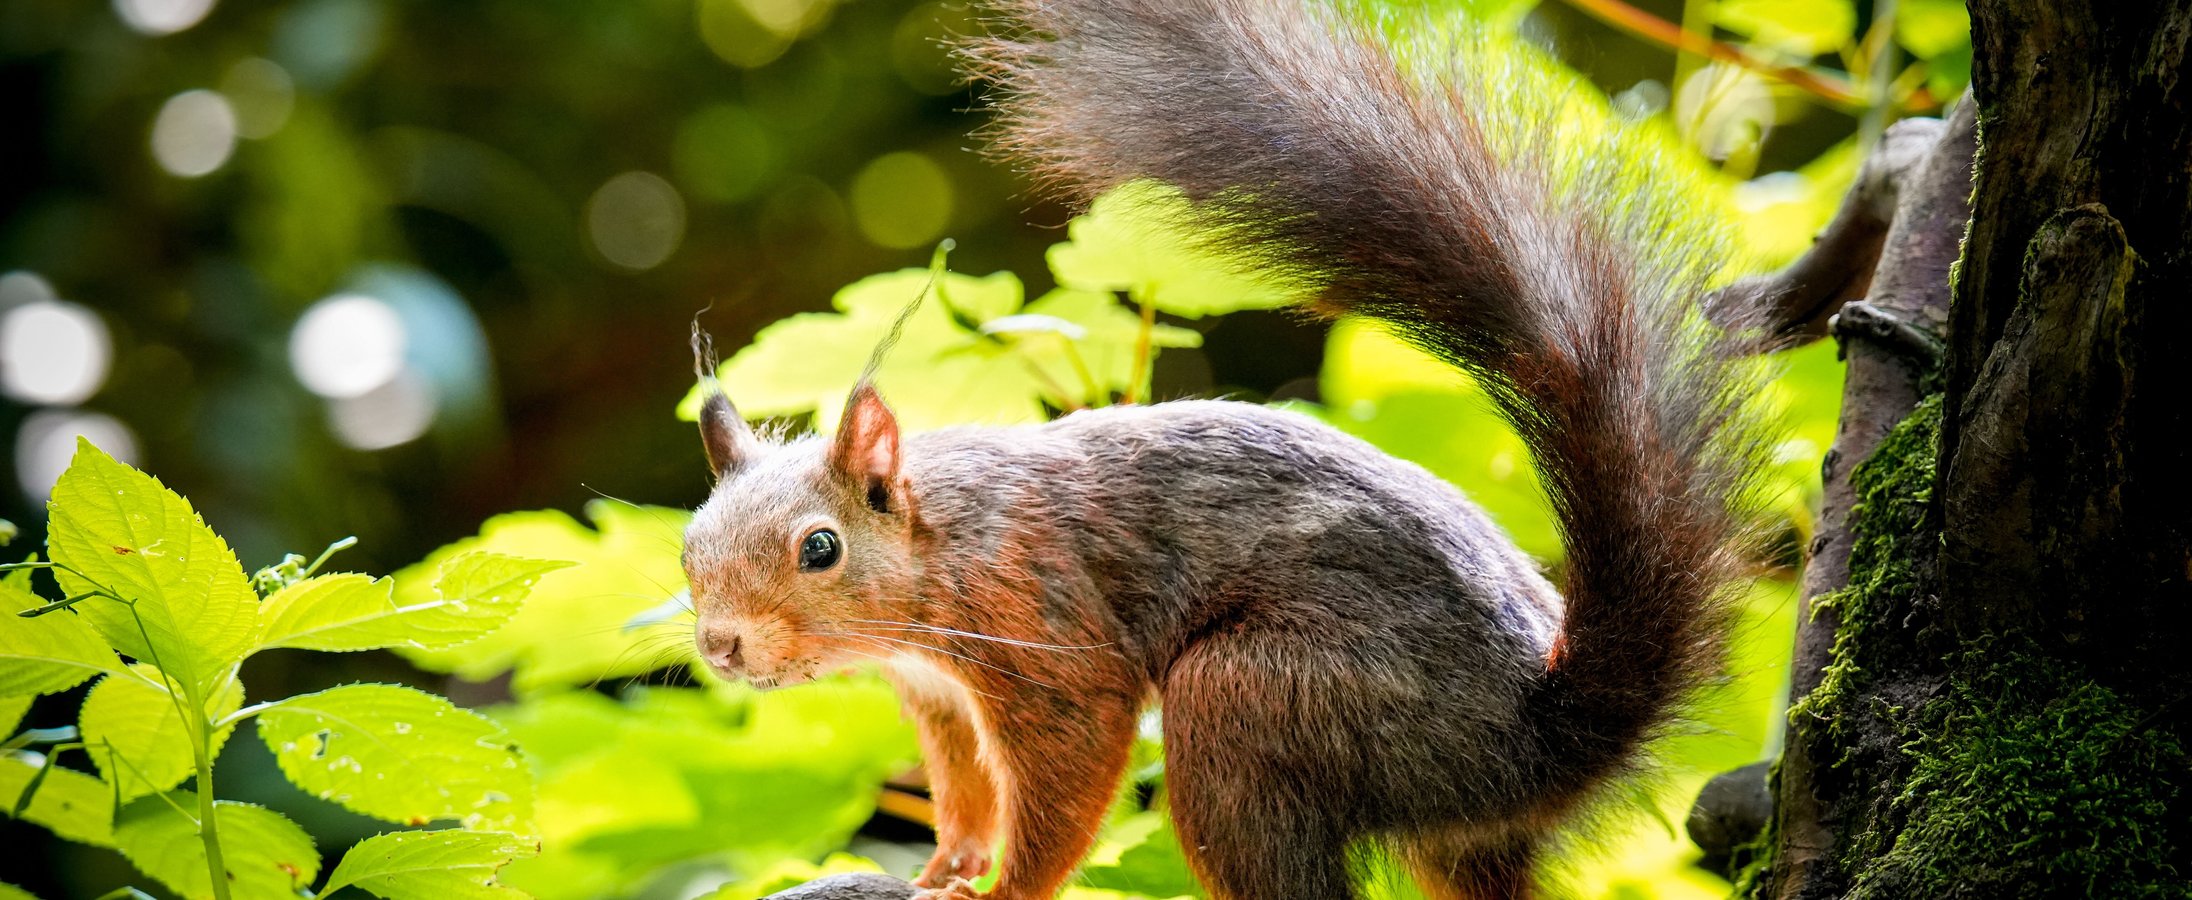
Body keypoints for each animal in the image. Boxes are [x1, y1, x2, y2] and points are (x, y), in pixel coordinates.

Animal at [679, 1, 1770, 897]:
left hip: (1261, 701)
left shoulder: (1045, 627)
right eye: (688, 551)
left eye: (820, 548)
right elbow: (965, 794)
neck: (941, 544)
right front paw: (944, 872)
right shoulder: (939, 698)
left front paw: (1000, 892)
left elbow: (1065, 774)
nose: (720, 646)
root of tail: (1540, 741)